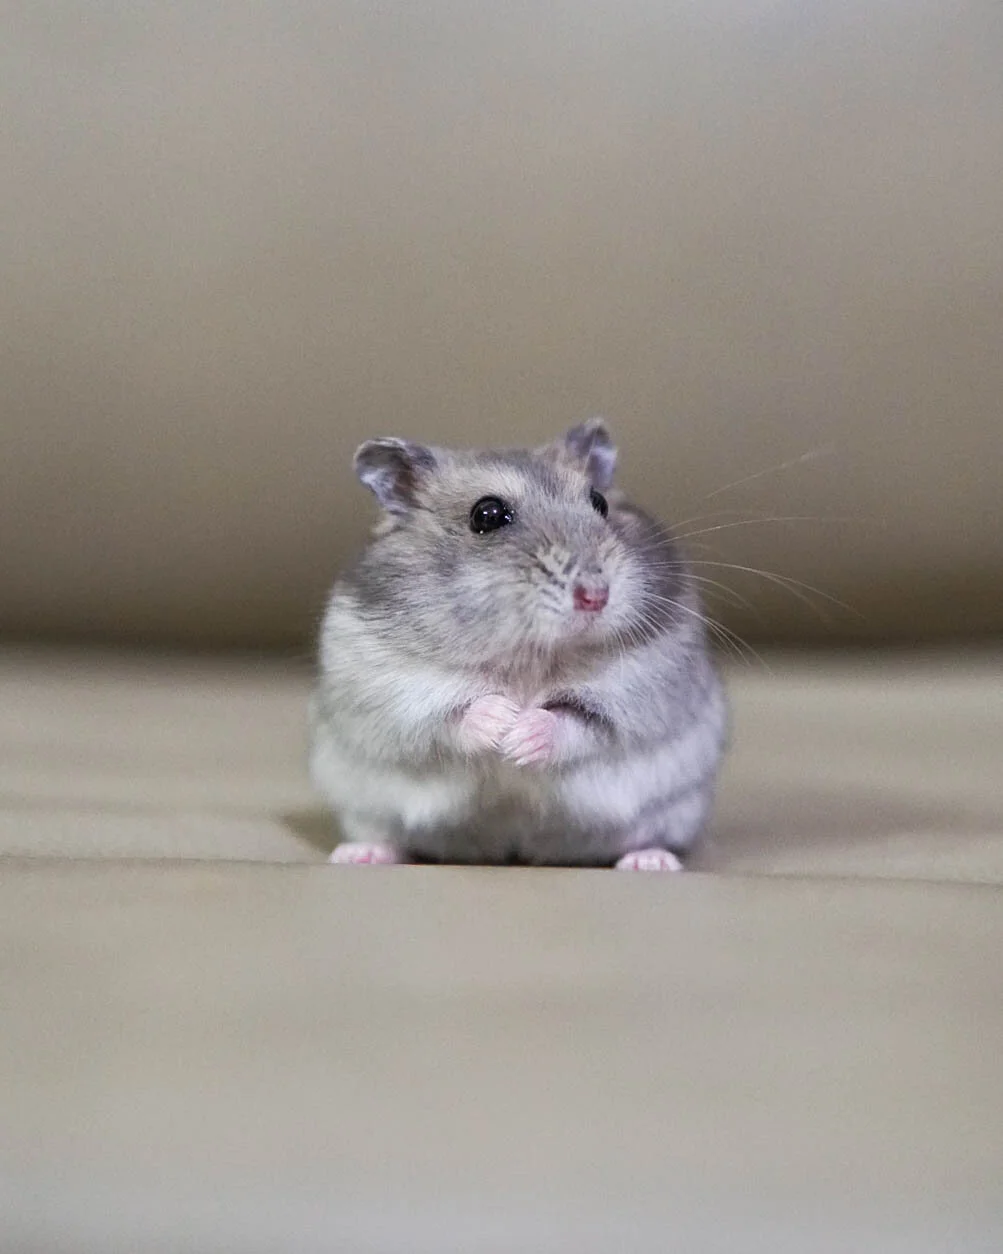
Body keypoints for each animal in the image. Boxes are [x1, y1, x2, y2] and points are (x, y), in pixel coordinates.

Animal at [310, 419, 727, 871]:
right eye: (487, 515)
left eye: (599, 502)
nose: (596, 596)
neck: (528, 652)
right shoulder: (398, 693)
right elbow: (453, 717)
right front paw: (504, 721)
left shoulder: (633, 693)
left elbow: (578, 722)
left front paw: (519, 738)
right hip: (361, 801)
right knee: (386, 836)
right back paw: (358, 855)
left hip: (677, 804)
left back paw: (650, 862)